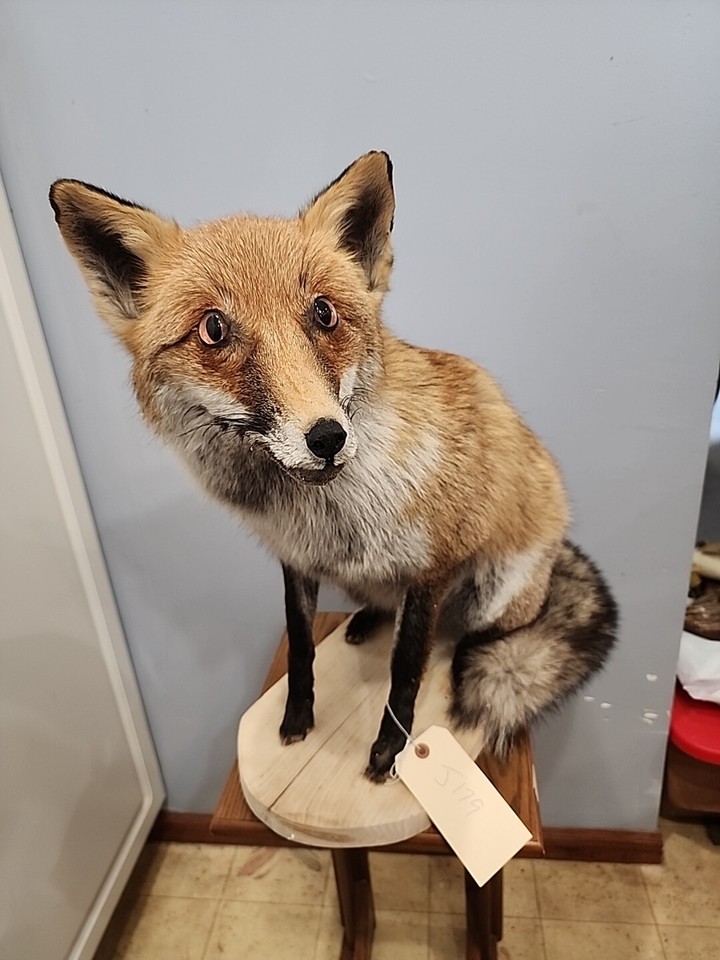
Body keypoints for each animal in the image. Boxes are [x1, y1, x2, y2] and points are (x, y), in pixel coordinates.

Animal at [49, 151, 617, 782]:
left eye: (323, 314)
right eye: (213, 329)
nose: (327, 437)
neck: (330, 518)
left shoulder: (432, 569)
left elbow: (407, 670)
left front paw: (392, 752)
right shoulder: (295, 561)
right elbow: (299, 647)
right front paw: (297, 720)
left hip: (493, 593)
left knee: (477, 637)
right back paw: (366, 620)